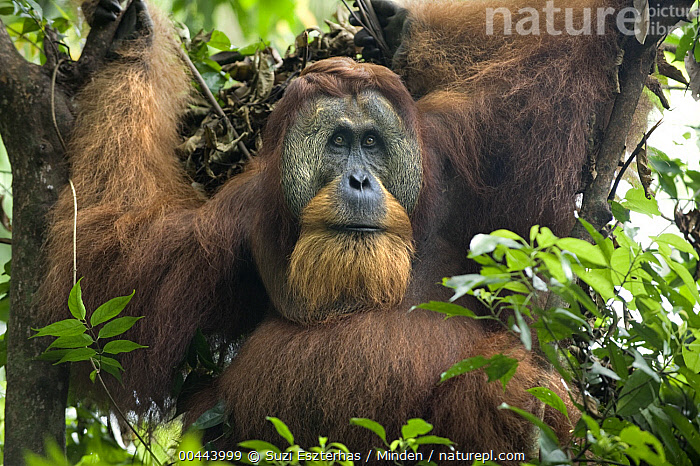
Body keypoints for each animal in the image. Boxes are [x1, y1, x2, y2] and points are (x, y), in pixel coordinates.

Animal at [37, 0, 625, 461]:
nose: (360, 180)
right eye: (338, 142)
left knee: (509, 387)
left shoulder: (468, 150)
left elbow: (547, 69)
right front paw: (131, 38)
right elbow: (118, 275)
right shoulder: (232, 221)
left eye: (371, 143)